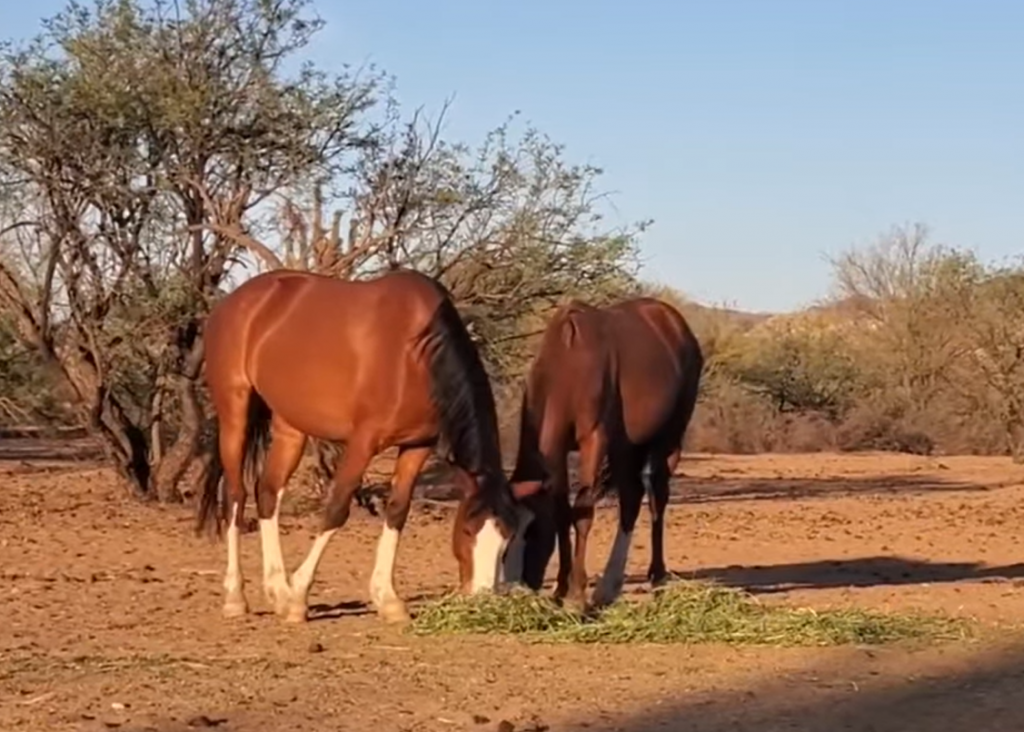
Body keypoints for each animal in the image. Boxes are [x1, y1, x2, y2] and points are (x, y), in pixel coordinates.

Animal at [195, 268, 540, 624]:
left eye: (508, 539)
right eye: (468, 530)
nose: (484, 598)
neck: (413, 355)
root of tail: (234, 302)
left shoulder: (418, 446)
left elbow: (398, 511)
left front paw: (388, 600)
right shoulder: (363, 442)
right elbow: (337, 509)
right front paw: (300, 598)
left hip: (290, 425)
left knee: (267, 492)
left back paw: (278, 590)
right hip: (235, 411)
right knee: (236, 495)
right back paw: (237, 597)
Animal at [503, 297, 703, 609]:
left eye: (531, 531)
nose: (515, 590)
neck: (568, 361)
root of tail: (674, 322)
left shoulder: (594, 440)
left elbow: (583, 511)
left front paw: (576, 595)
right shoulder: (558, 452)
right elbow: (562, 513)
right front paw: (560, 589)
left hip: (668, 437)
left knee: (657, 496)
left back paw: (657, 577)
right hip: (626, 446)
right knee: (631, 497)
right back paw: (609, 587)